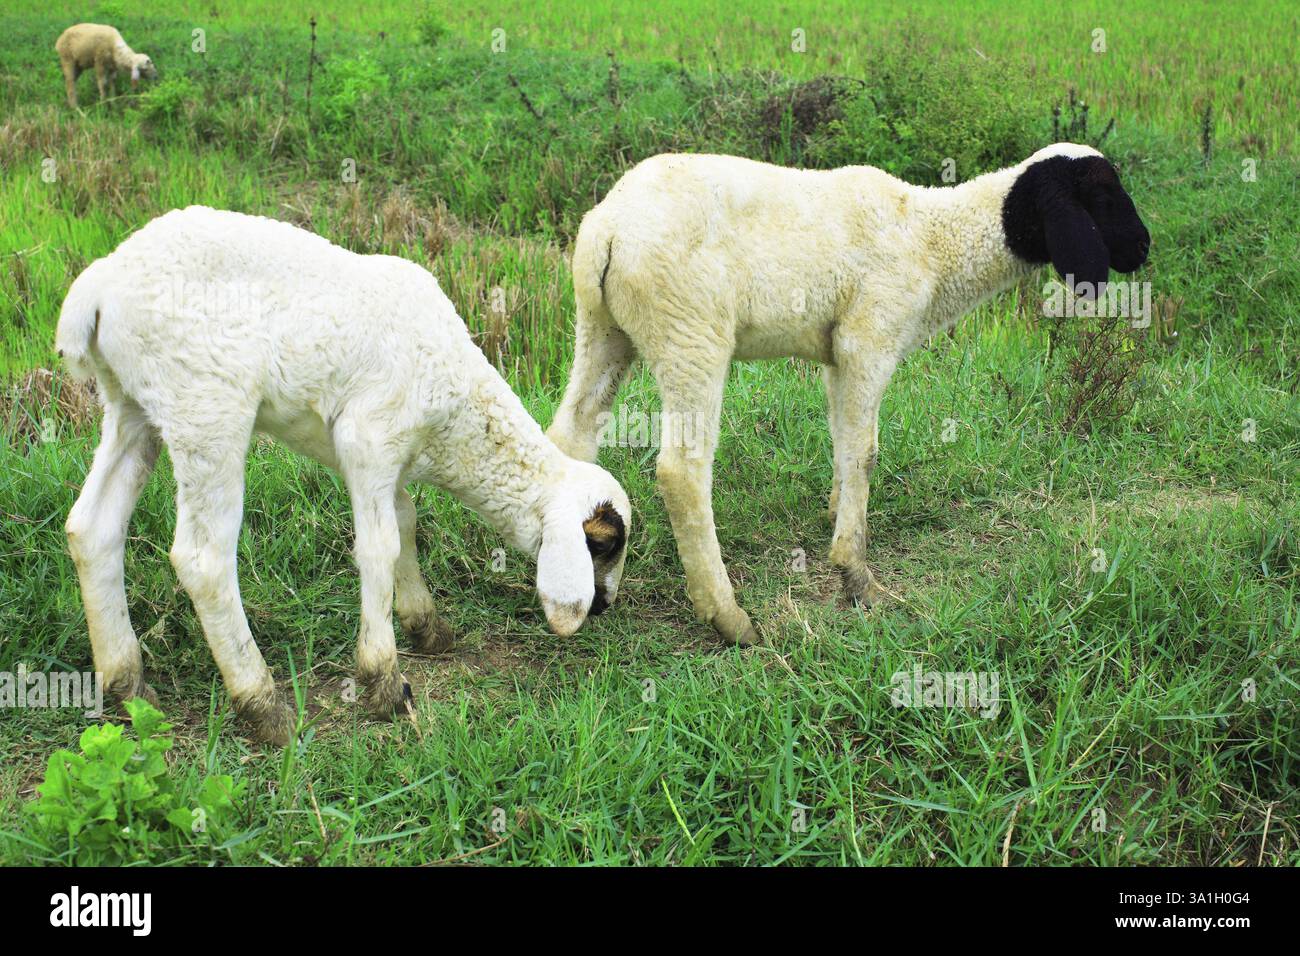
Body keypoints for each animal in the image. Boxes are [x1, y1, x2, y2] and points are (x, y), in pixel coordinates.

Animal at [56, 206, 632, 745]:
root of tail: (99, 285)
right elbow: (380, 547)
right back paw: (262, 704)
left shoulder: (389, 460)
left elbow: (406, 524)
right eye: (602, 544)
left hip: (131, 405)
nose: (603, 607)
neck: (459, 422)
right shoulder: (369, 438)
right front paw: (385, 682)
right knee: (203, 560)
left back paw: (127, 686)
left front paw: (426, 627)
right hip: (206, 409)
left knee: (92, 529)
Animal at [547, 143, 1149, 645]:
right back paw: (728, 617)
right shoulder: (868, 340)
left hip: (604, 327)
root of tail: (607, 227)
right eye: (1102, 193)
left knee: (570, 434)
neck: (933, 239)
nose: (1143, 247)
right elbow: (865, 452)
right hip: (691, 332)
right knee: (681, 471)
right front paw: (856, 575)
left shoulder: (837, 354)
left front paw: (838, 514)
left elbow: (843, 442)